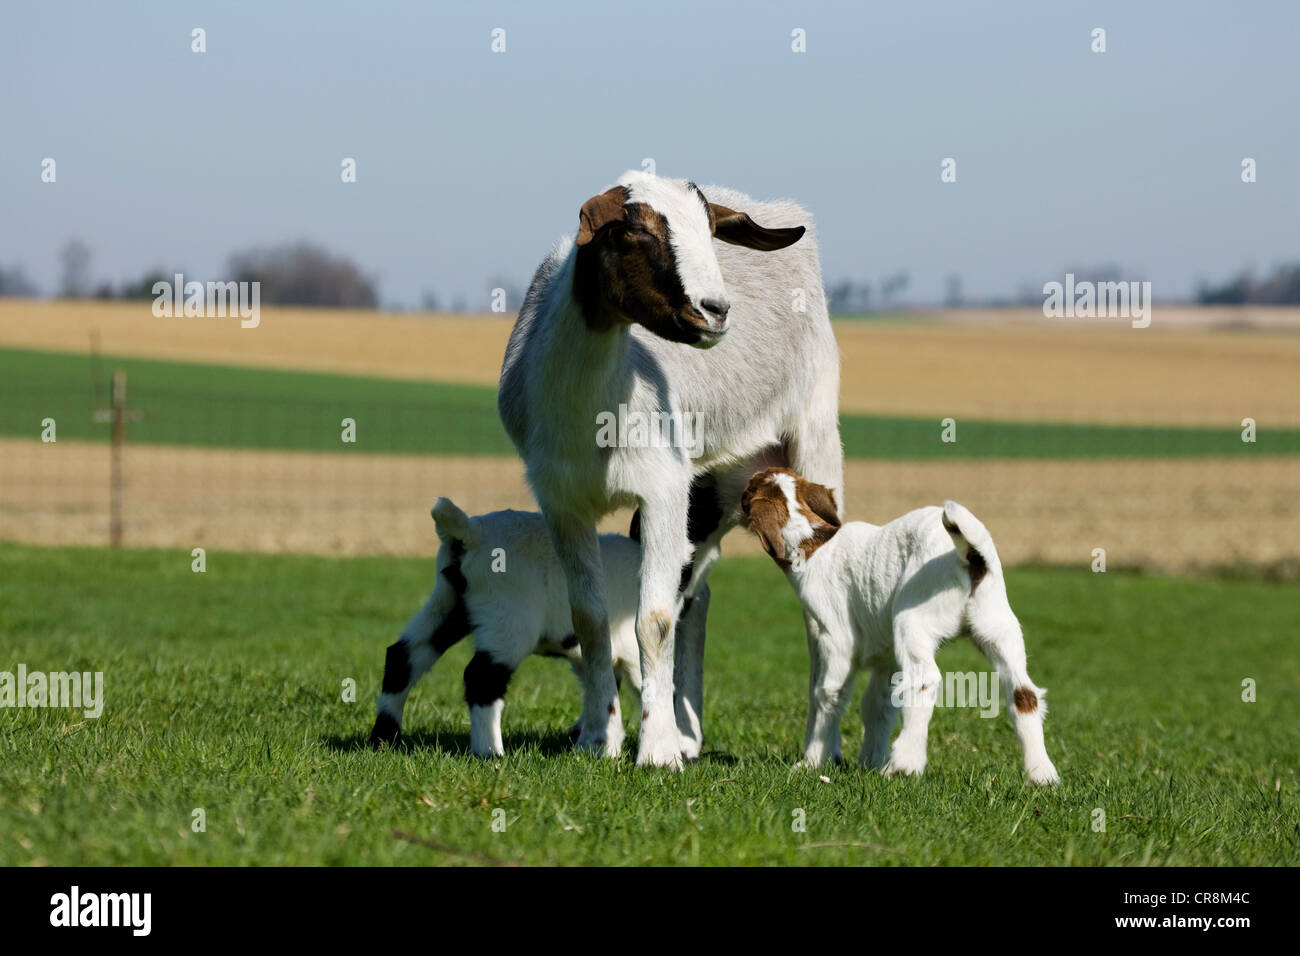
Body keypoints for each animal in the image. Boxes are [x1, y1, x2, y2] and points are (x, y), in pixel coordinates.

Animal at [369, 498, 663, 757]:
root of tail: (470, 532)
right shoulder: (631, 650)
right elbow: (649, 688)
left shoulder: (595, 652)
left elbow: (600, 688)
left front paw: (587, 739)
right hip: (508, 618)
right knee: (482, 676)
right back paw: (490, 753)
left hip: (447, 604)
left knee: (402, 657)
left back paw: (384, 740)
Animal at [498, 170, 843, 768]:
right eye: (635, 231)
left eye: (710, 231)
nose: (716, 310)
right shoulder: (562, 501)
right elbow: (590, 619)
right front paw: (600, 737)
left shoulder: (661, 488)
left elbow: (653, 620)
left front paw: (656, 750)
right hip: (708, 488)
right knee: (695, 595)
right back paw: (690, 733)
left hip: (814, 440)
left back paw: (820, 752)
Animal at [740, 467, 1059, 785]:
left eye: (748, 489)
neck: (813, 543)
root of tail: (970, 556)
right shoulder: (886, 654)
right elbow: (877, 705)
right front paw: (869, 760)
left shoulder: (836, 639)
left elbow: (829, 695)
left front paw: (812, 762)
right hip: (999, 627)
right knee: (1024, 693)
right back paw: (1041, 774)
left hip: (913, 621)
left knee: (924, 681)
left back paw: (904, 765)